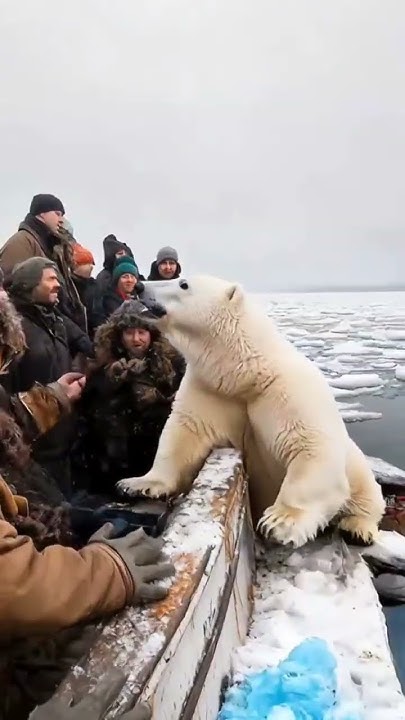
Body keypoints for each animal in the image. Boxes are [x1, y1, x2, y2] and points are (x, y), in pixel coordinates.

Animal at [117, 275, 385, 548]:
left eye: (183, 283)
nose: (139, 286)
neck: (248, 373)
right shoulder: (211, 390)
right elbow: (184, 433)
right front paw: (135, 484)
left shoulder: (288, 391)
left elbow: (310, 447)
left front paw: (280, 522)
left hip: (358, 468)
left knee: (368, 494)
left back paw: (357, 529)